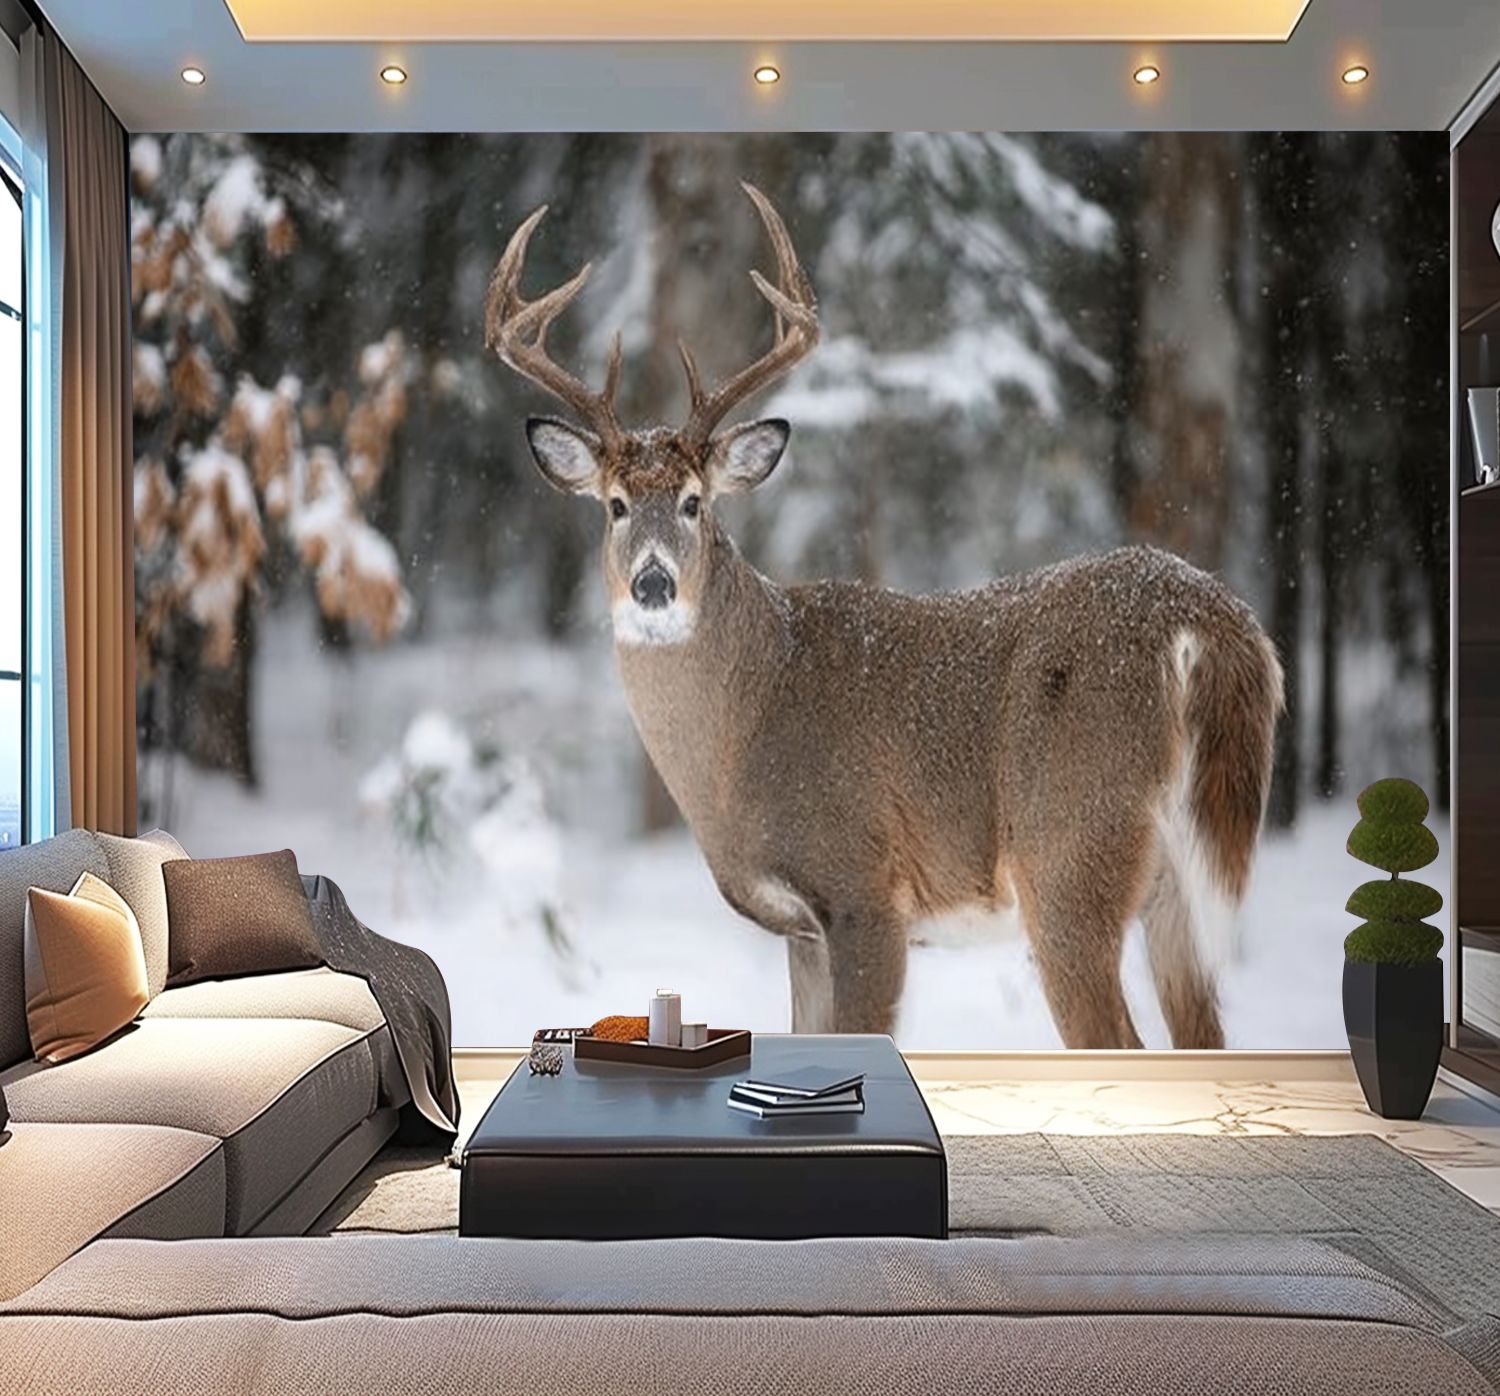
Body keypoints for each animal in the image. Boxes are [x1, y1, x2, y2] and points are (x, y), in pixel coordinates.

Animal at [485, 184, 1284, 1049]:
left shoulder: (862, 886)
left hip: (1073, 848)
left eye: (696, 503)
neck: (747, 732)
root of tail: (1204, 618)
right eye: (616, 506)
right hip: (1175, 887)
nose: (654, 585)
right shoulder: (802, 929)